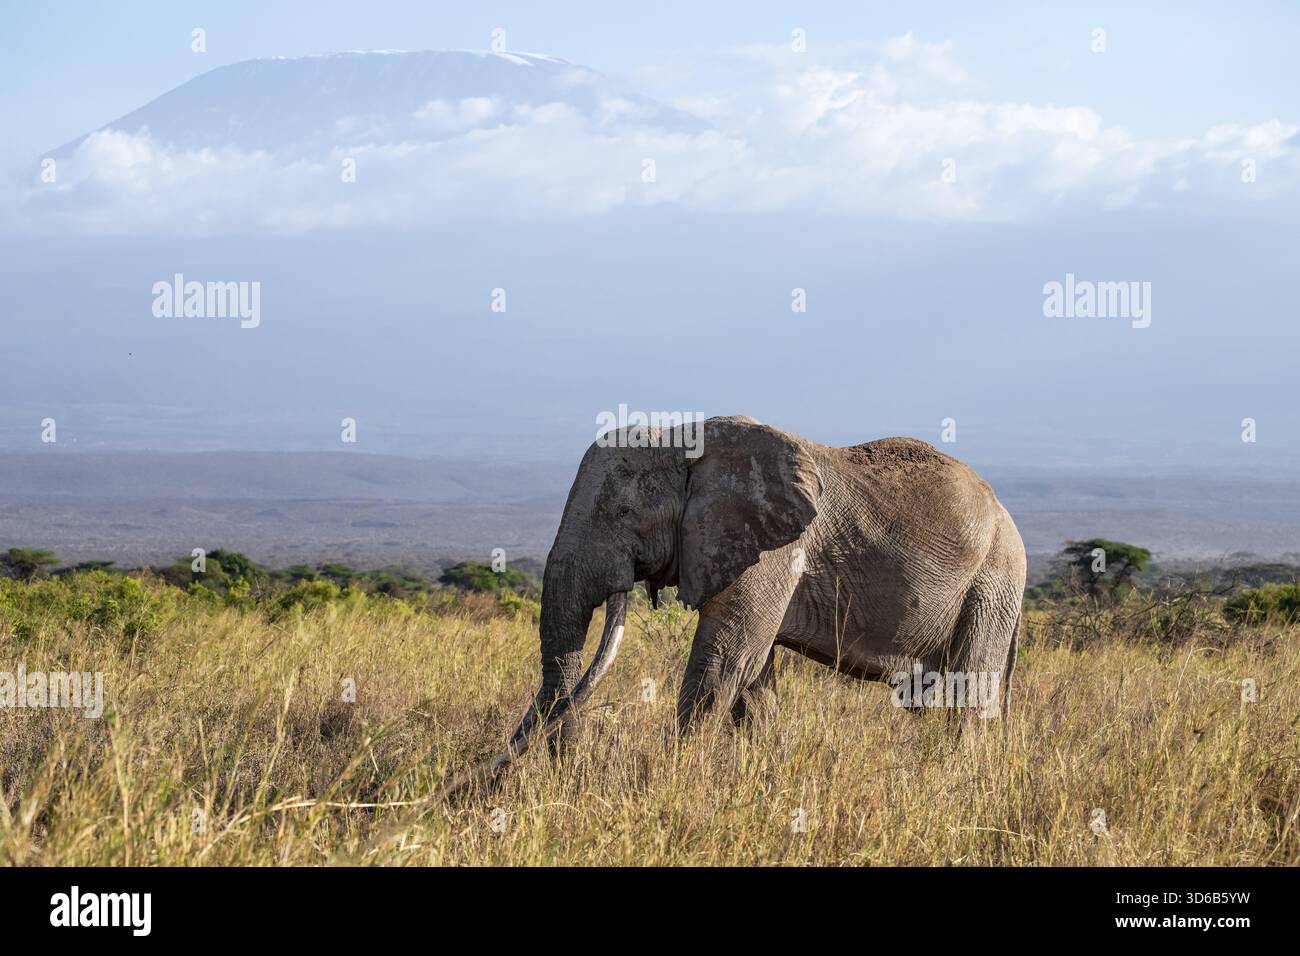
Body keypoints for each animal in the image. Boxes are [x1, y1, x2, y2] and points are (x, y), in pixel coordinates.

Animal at [462, 415, 1026, 789]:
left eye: (622, 513)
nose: (470, 787)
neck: (684, 441)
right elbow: (753, 679)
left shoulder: (771, 550)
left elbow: (725, 660)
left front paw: (670, 786)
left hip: (993, 583)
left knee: (967, 692)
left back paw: (954, 784)